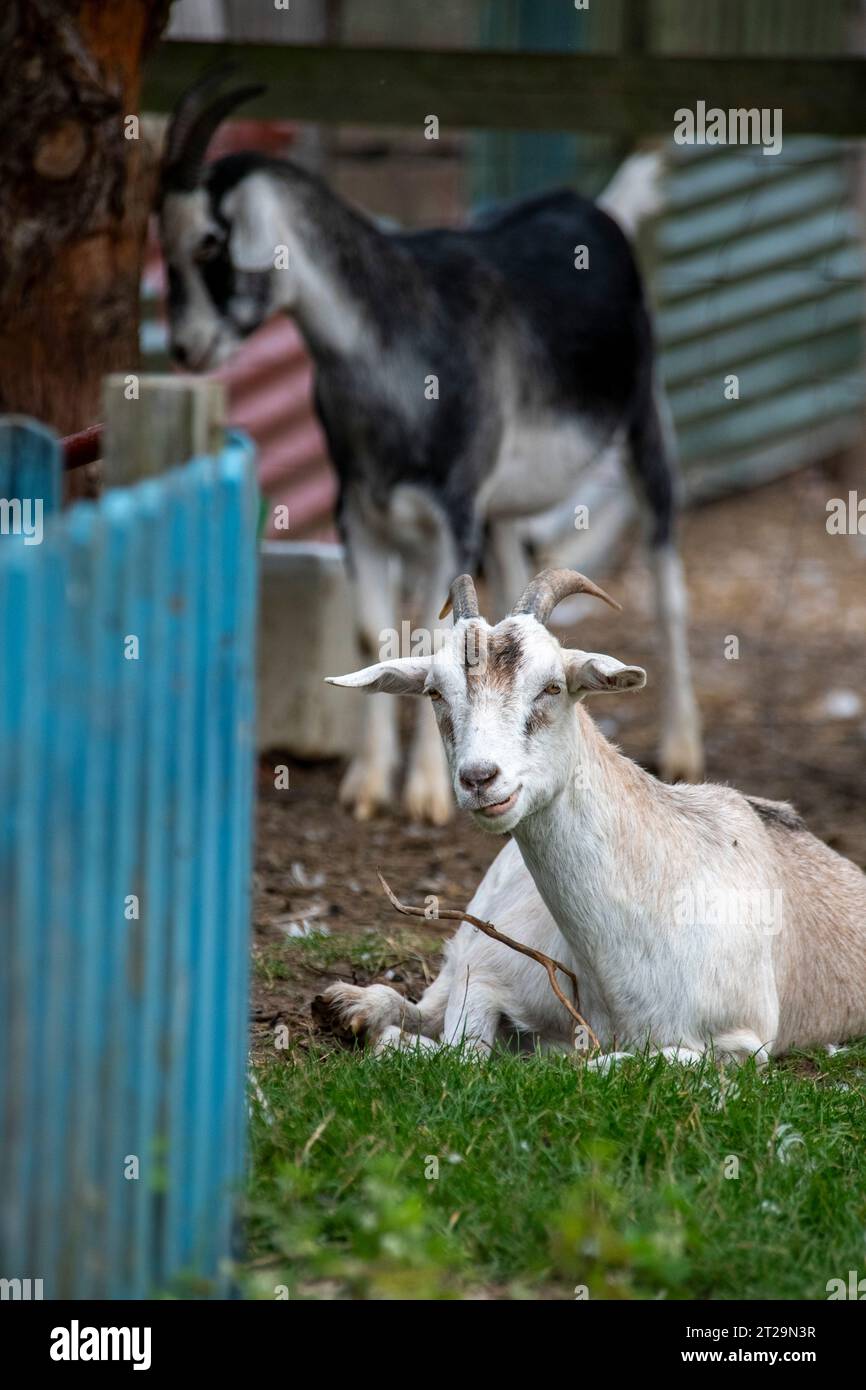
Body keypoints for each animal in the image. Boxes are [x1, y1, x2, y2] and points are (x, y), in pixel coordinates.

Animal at [159, 72, 702, 825]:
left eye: (210, 240)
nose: (185, 348)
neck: (400, 343)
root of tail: (596, 209)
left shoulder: (450, 513)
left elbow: (425, 631)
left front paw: (421, 794)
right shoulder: (360, 511)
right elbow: (375, 633)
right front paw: (366, 784)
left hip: (645, 421)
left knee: (666, 570)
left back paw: (682, 748)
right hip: (499, 507)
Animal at [324, 569, 866, 1064]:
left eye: (552, 687)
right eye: (436, 692)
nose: (479, 778)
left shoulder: (743, 1042)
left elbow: (616, 1061)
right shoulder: (488, 968)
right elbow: (463, 1046)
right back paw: (351, 1005)